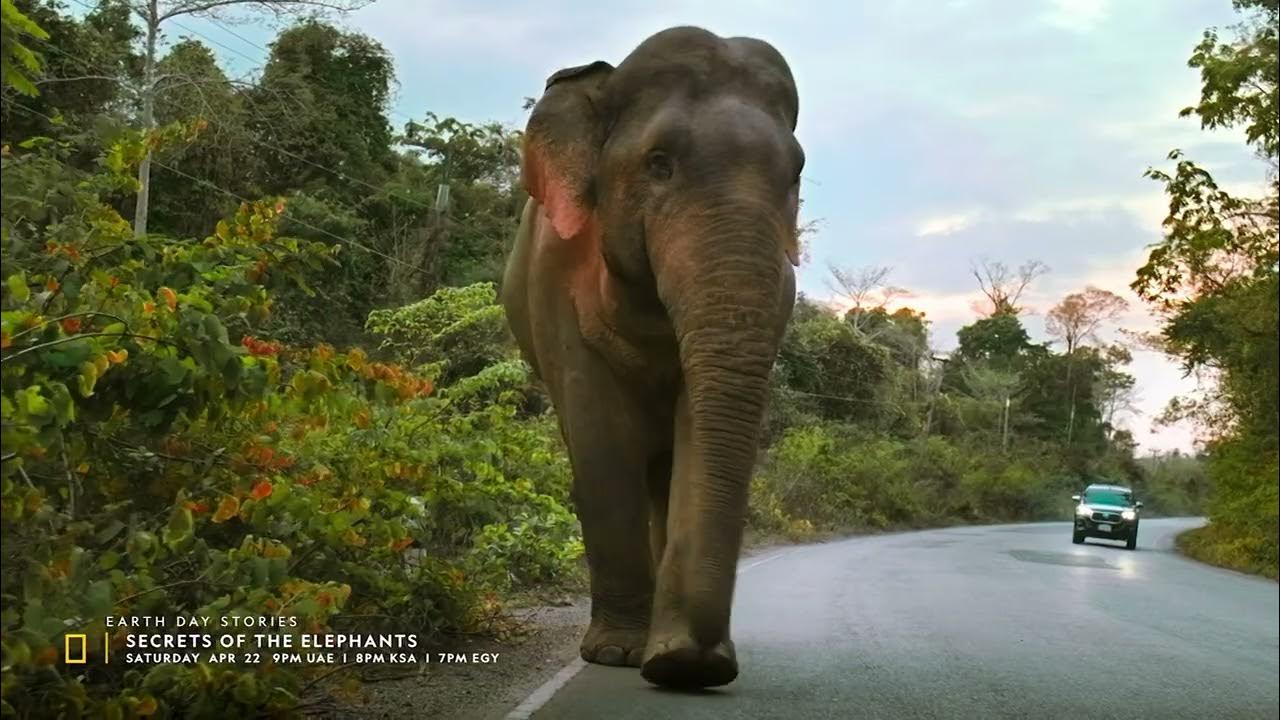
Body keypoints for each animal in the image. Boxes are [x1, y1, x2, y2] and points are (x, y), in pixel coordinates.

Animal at [500, 26, 803, 689]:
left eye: (795, 175)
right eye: (659, 163)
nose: (697, 662)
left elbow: (697, 433)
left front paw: (682, 660)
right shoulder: (555, 282)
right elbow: (603, 444)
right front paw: (619, 655)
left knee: (662, 471)